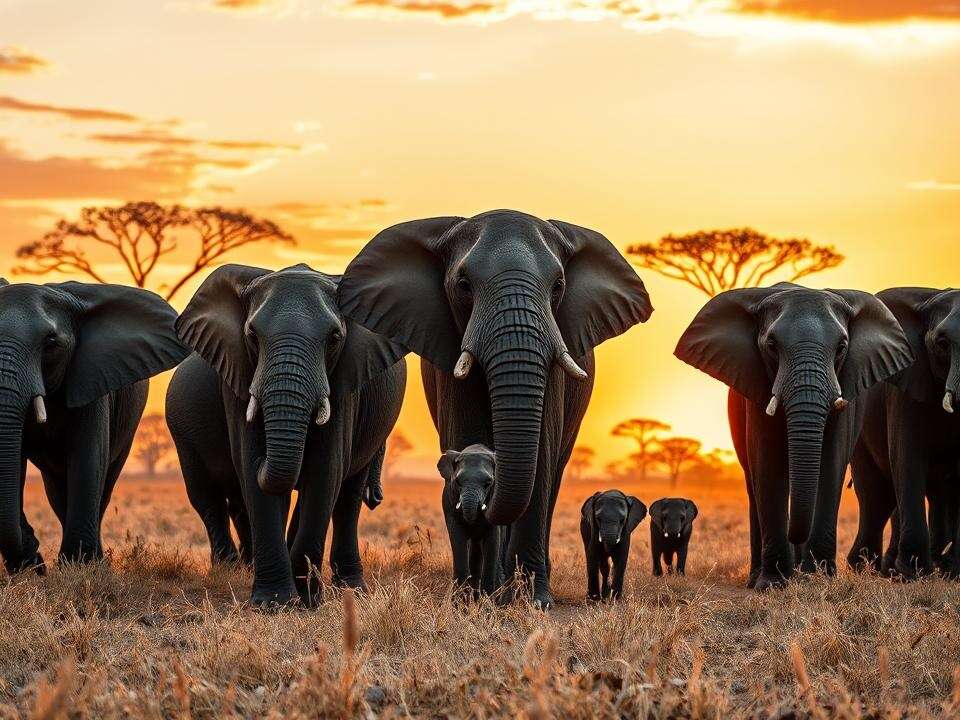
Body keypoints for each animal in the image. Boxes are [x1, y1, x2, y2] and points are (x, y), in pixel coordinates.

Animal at [0, 279, 187, 574]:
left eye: (50, 343)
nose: (34, 548)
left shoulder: (92, 379)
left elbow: (87, 456)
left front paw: (79, 566)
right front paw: (28, 568)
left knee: (103, 487)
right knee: (57, 492)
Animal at [168, 264, 407, 607]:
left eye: (334, 338)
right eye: (252, 336)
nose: (378, 495)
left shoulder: (346, 380)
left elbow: (326, 470)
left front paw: (306, 601)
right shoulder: (238, 374)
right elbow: (252, 470)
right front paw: (274, 603)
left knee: (346, 499)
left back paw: (351, 590)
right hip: (182, 434)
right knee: (207, 497)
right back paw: (228, 569)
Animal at [437, 444, 503, 597]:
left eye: (488, 483)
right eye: (458, 482)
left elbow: (493, 538)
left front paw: (487, 600)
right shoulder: (449, 501)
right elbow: (457, 537)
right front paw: (459, 600)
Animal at [675, 283, 913, 590]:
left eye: (842, 347)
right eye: (771, 346)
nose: (795, 538)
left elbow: (831, 462)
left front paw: (817, 579)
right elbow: (766, 461)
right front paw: (773, 584)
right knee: (752, 484)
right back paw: (756, 577)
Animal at [847, 288, 960, 578]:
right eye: (942, 343)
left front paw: (951, 571)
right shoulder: (906, 386)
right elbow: (908, 460)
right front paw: (914, 572)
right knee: (877, 497)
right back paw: (869, 570)